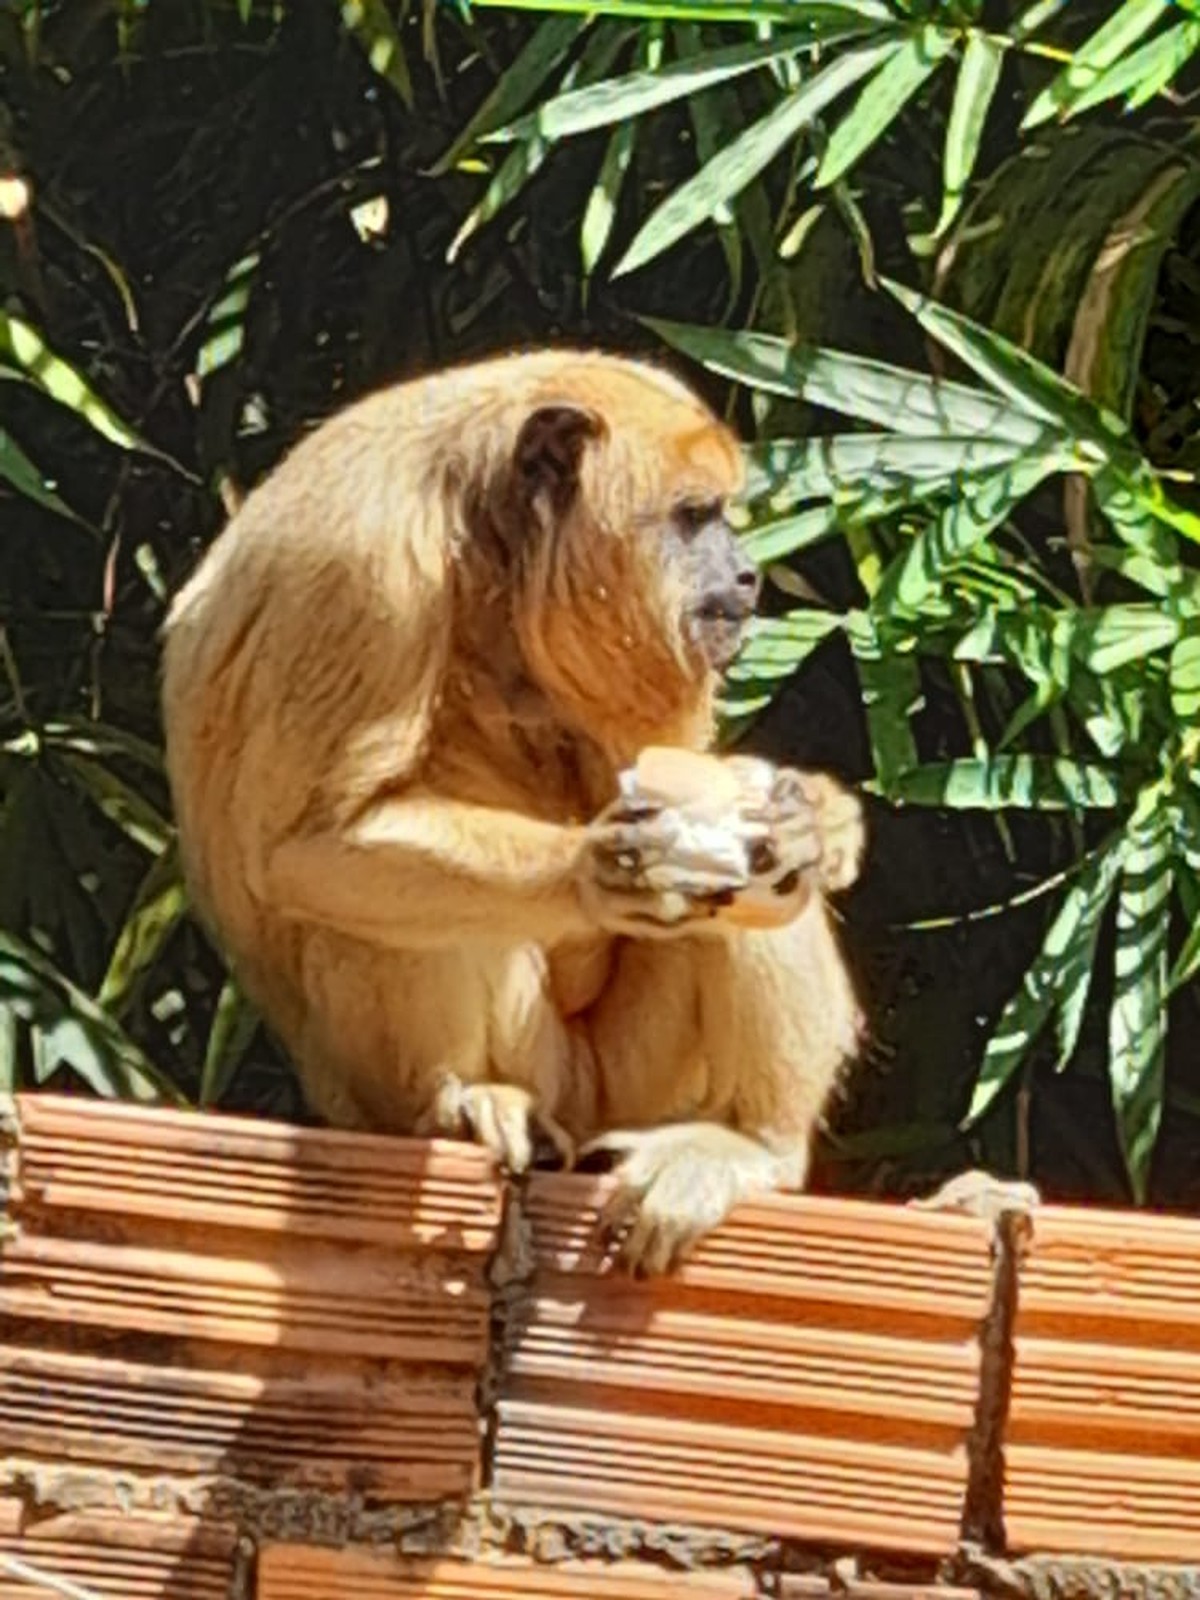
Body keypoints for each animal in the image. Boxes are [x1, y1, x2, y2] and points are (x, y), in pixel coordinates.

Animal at [160, 349, 865, 1274]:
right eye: (694, 517)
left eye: (722, 517)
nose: (746, 572)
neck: (484, 537)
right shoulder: (363, 569)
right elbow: (309, 843)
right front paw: (605, 869)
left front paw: (820, 818)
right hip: (502, 1077)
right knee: (370, 894)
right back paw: (463, 1103)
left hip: (638, 1085)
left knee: (762, 891)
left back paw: (754, 1145)